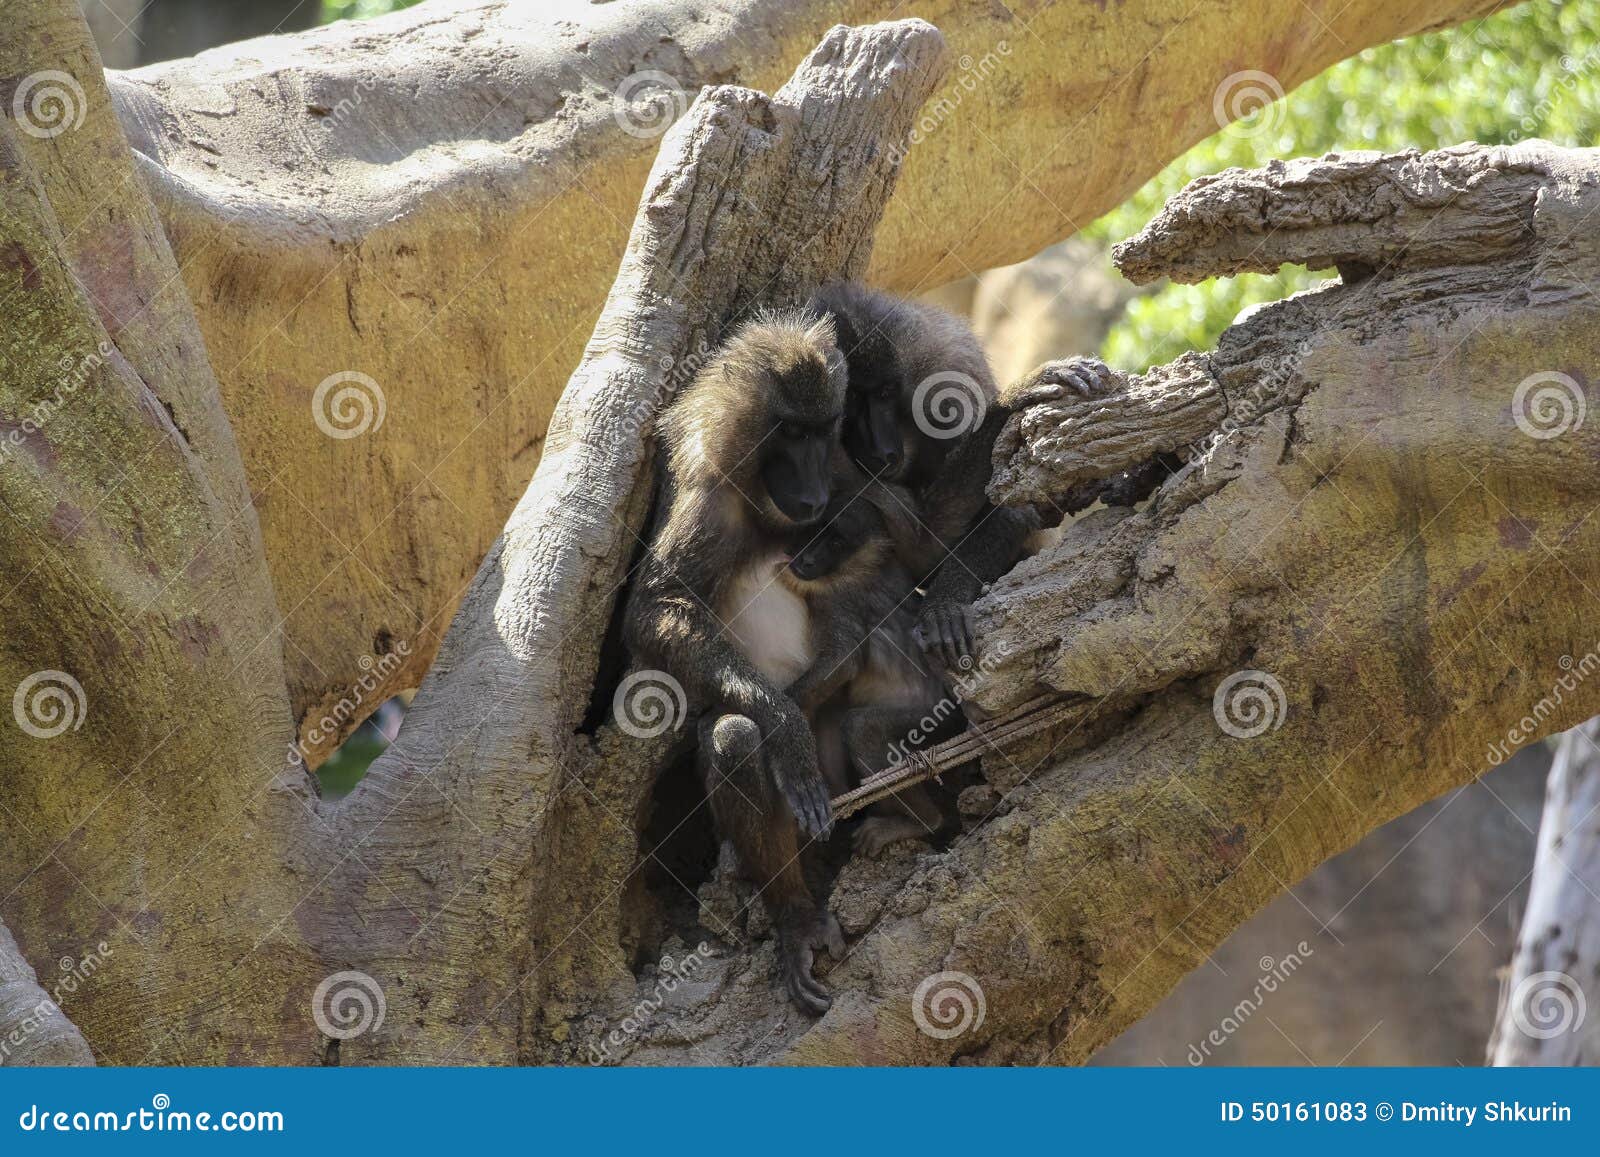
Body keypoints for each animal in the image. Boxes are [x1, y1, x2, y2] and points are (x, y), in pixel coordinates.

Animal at [623, 307, 850, 1016]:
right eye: (791, 433)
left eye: (822, 433)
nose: (813, 490)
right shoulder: (708, 498)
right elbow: (657, 606)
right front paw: (785, 723)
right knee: (735, 739)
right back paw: (795, 916)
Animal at [810, 282, 1116, 668]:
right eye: (849, 402)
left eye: (884, 393)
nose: (883, 451)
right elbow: (922, 546)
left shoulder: (949, 379)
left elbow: (1010, 511)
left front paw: (944, 604)